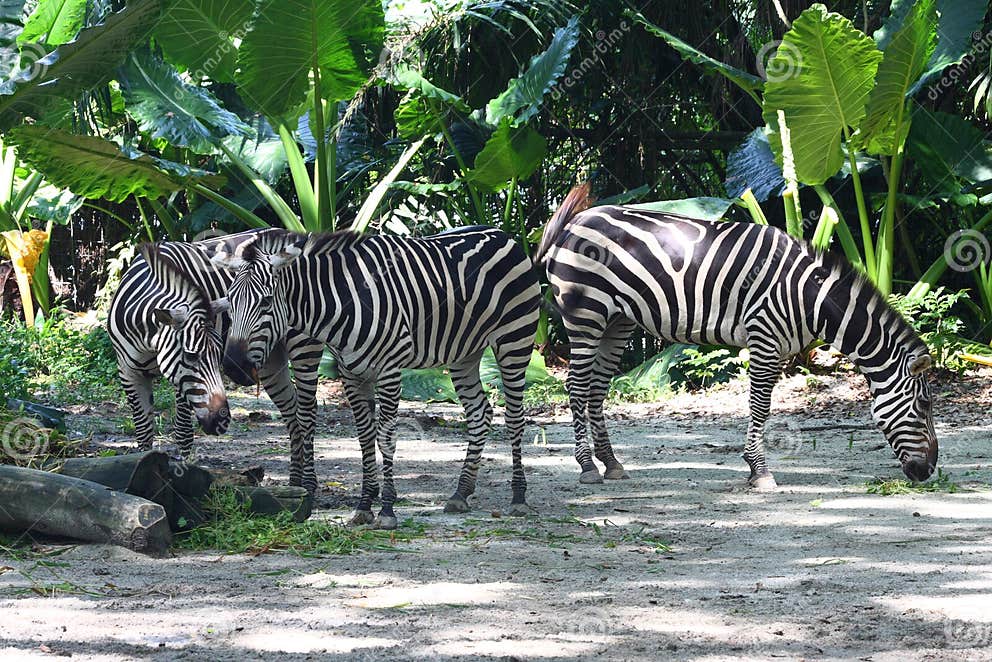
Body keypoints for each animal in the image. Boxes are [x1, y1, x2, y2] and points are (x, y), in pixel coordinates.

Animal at [108, 232, 324, 490]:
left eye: (218, 355)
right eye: (191, 356)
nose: (221, 422)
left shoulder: (180, 381)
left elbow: (183, 431)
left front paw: (184, 479)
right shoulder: (128, 373)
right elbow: (143, 431)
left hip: (304, 346)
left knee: (307, 410)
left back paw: (308, 483)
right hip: (269, 358)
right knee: (291, 409)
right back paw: (294, 482)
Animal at [207, 226, 541, 529]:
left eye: (265, 301)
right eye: (229, 301)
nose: (234, 366)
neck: (342, 304)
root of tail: (502, 234)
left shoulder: (389, 371)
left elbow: (386, 438)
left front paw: (388, 510)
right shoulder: (352, 374)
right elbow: (365, 438)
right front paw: (365, 505)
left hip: (514, 340)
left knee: (514, 417)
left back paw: (519, 497)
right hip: (464, 354)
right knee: (479, 413)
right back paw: (461, 492)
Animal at [536, 183, 937, 489]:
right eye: (924, 405)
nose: (930, 471)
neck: (810, 297)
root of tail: (576, 221)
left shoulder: (778, 347)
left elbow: (763, 406)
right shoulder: (764, 338)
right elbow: (760, 406)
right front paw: (759, 471)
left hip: (617, 322)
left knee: (596, 388)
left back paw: (611, 462)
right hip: (585, 315)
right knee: (576, 385)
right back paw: (588, 466)